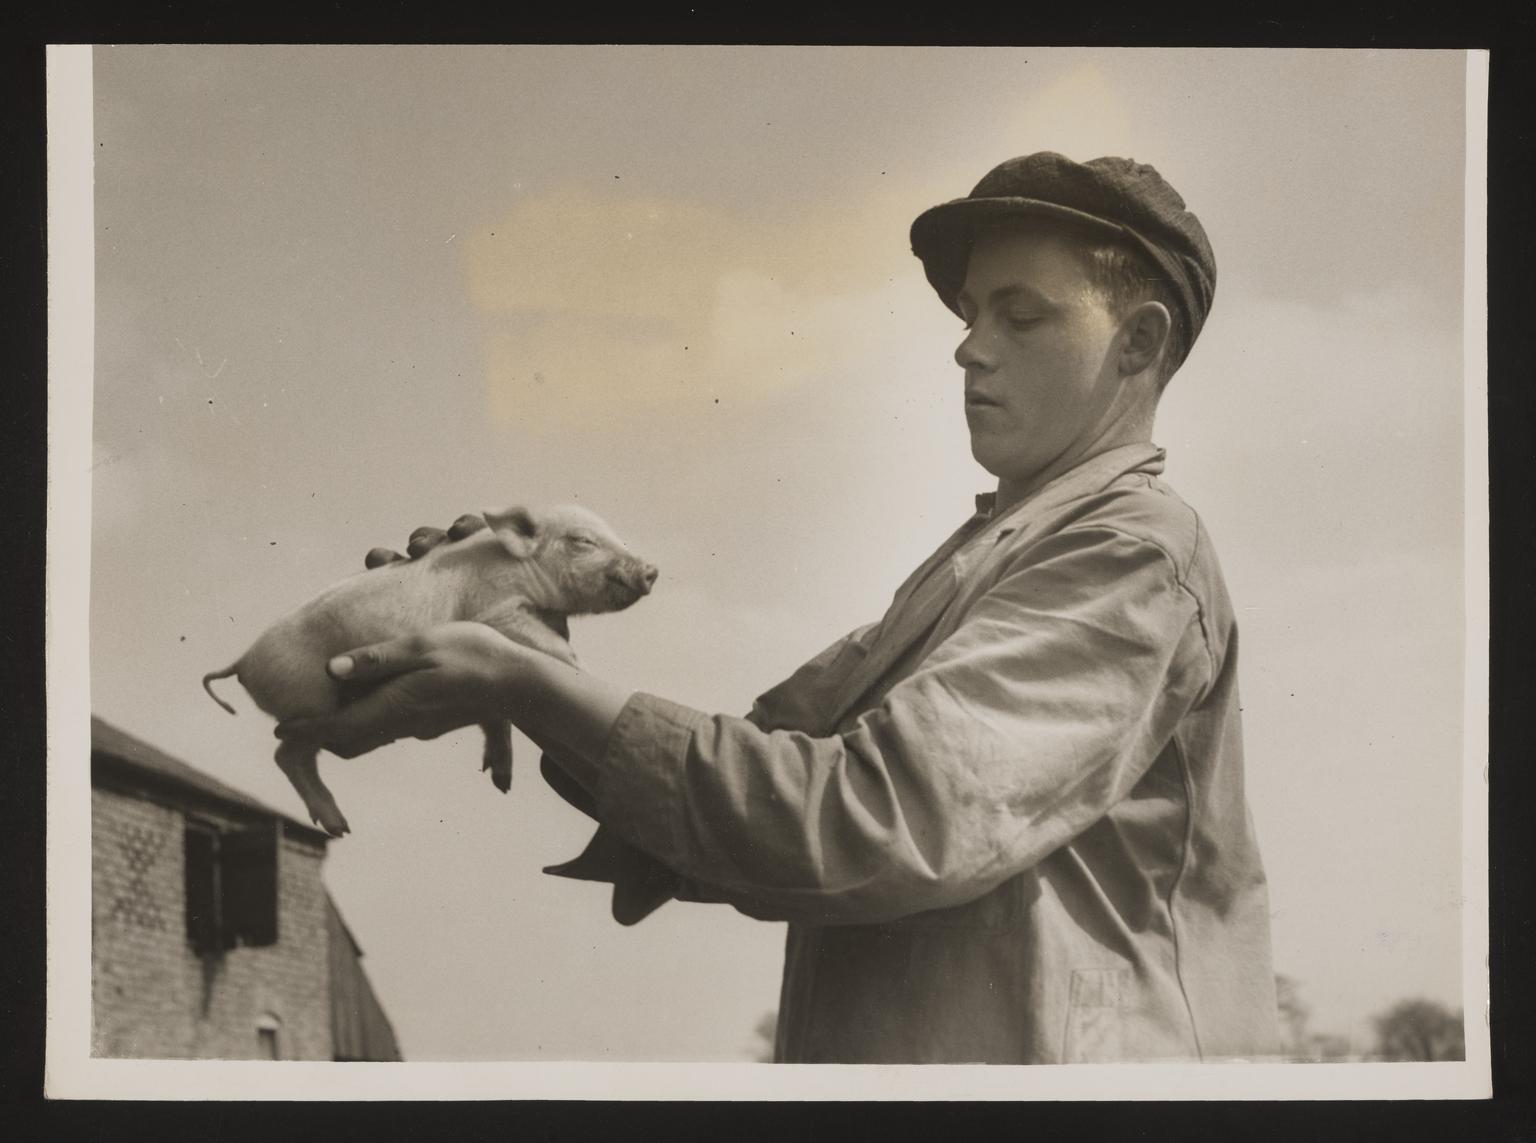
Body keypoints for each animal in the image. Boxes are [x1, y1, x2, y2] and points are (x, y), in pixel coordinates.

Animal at [202, 504, 658, 838]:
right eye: (583, 541)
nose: (651, 569)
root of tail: (244, 659)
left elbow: (497, 716)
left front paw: (501, 783)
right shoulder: (495, 608)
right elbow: (554, 646)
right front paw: (584, 669)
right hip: (309, 702)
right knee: (286, 753)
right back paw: (339, 828)